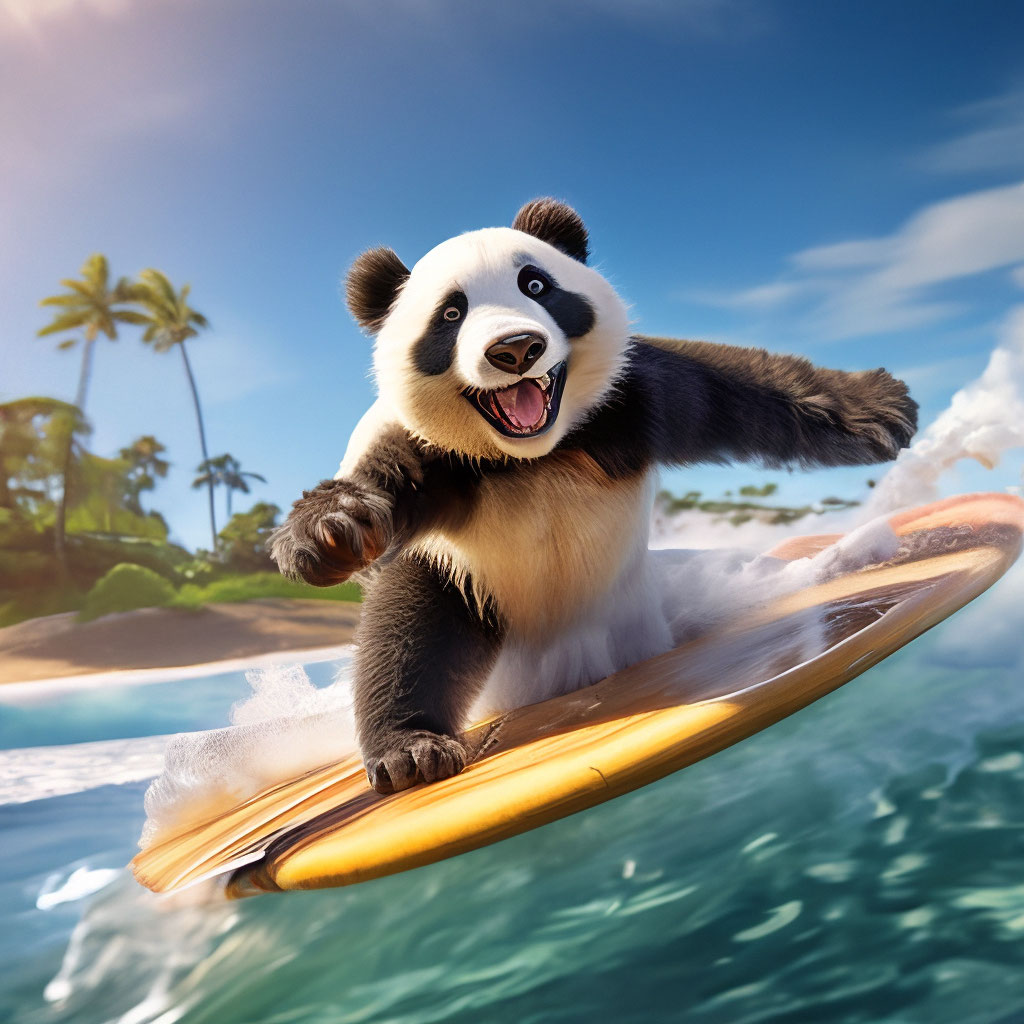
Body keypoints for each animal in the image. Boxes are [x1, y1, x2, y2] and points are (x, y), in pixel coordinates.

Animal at [271, 198, 917, 795]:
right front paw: (329, 534)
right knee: (412, 625)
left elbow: (731, 388)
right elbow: (384, 527)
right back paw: (411, 752)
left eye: (536, 285)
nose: (515, 349)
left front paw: (879, 406)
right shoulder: (430, 458)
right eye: (451, 313)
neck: (535, 458)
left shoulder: (626, 401)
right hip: (473, 585)